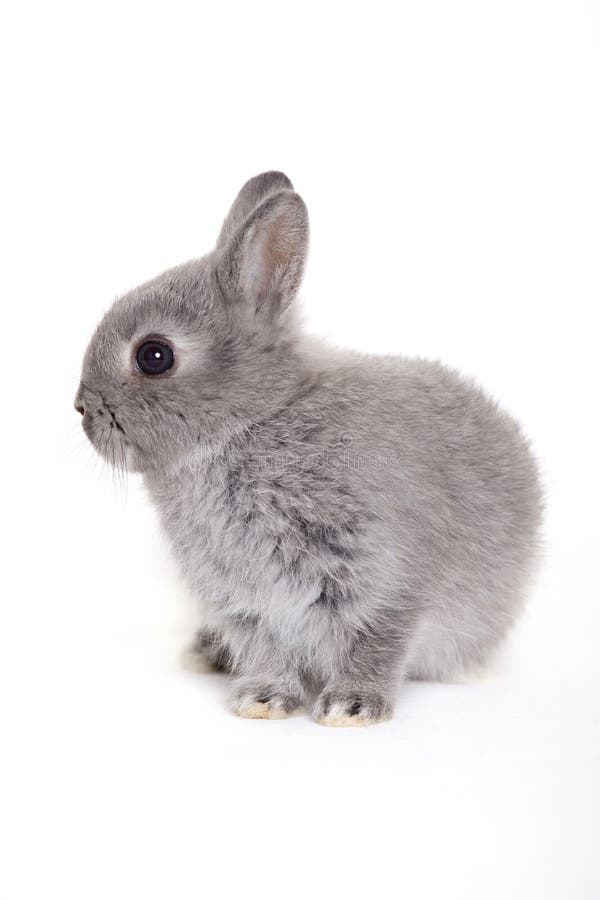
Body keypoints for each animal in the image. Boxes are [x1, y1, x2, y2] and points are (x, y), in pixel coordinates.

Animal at [75, 171, 542, 726]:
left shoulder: (387, 580)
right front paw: (263, 701)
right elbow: (266, 651)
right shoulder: (247, 604)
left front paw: (351, 708)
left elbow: (377, 642)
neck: (254, 420)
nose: (81, 409)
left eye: (154, 355)